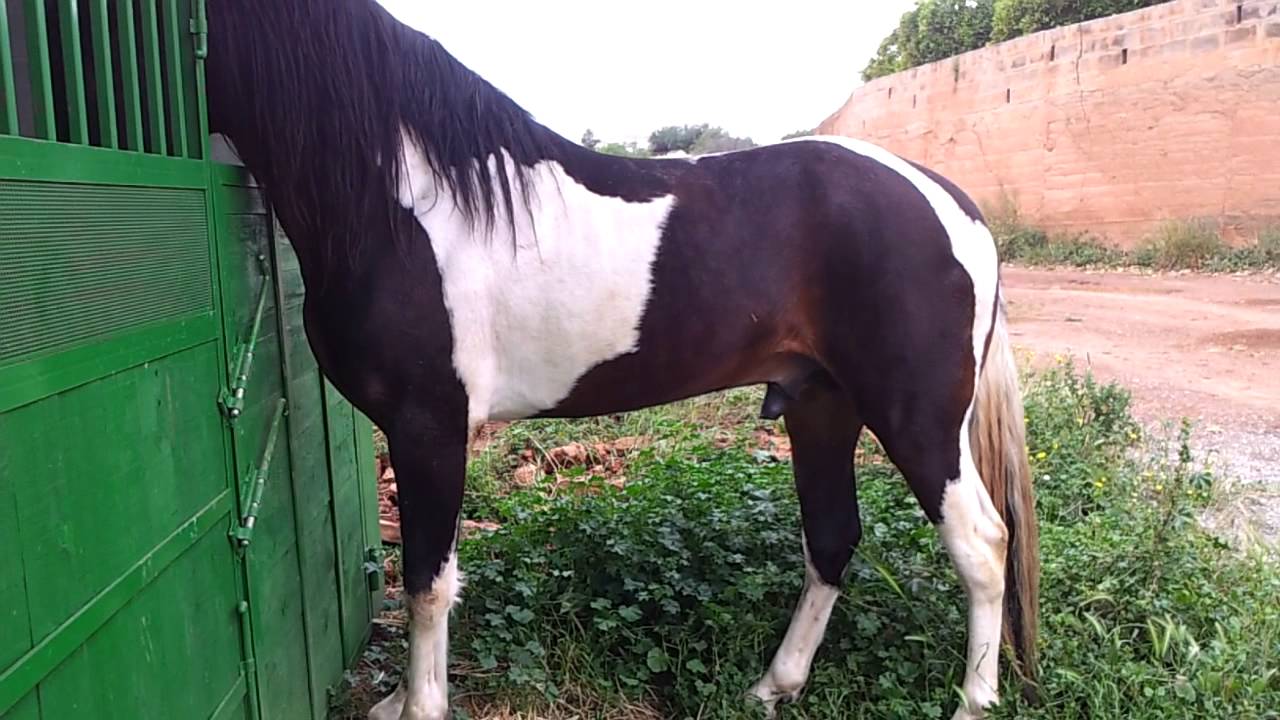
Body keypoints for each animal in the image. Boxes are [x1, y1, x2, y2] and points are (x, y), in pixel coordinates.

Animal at [205, 2, 1040, 719]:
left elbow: (425, 581)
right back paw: (774, 686)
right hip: (821, 405)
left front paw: (418, 707)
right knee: (833, 539)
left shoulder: (428, 426)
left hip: (918, 417)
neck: (405, 206)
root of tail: (953, 204)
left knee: (983, 545)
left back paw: (972, 702)